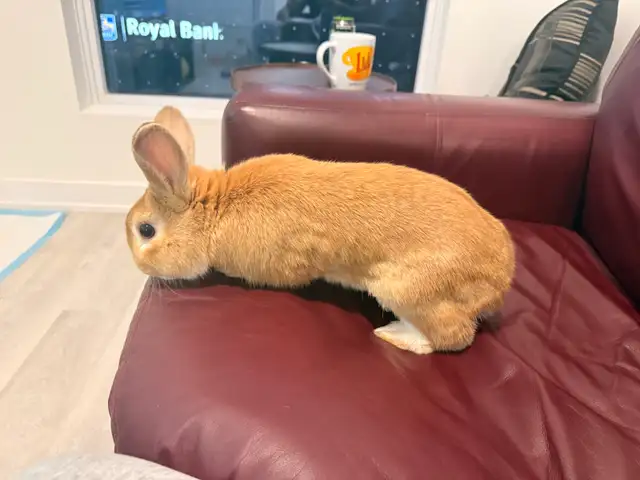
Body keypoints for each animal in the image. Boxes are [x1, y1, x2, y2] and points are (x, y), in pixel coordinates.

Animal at [125, 106, 516, 355]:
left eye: (146, 230)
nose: (139, 268)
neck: (216, 209)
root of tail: (501, 280)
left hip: (409, 291)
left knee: (454, 338)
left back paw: (396, 336)